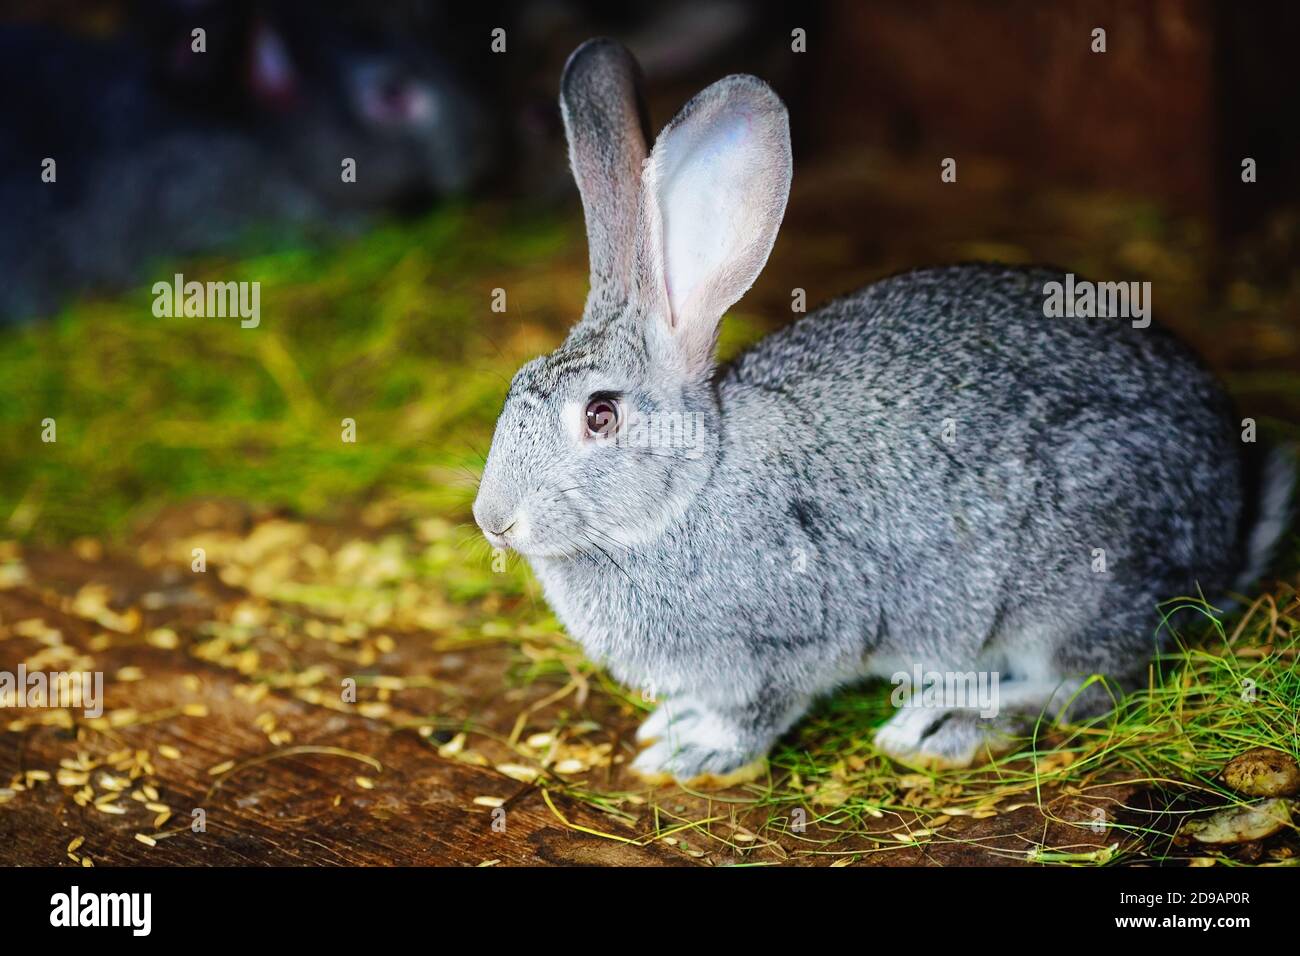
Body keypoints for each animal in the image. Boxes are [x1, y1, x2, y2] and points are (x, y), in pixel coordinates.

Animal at [473, 38, 1295, 785]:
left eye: (601, 415)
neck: (690, 490)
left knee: (1090, 685)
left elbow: (760, 710)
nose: (493, 520)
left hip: (1073, 582)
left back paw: (948, 720)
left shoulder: (797, 638)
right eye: (515, 386)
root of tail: (1227, 529)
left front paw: (695, 754)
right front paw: (673, 724)